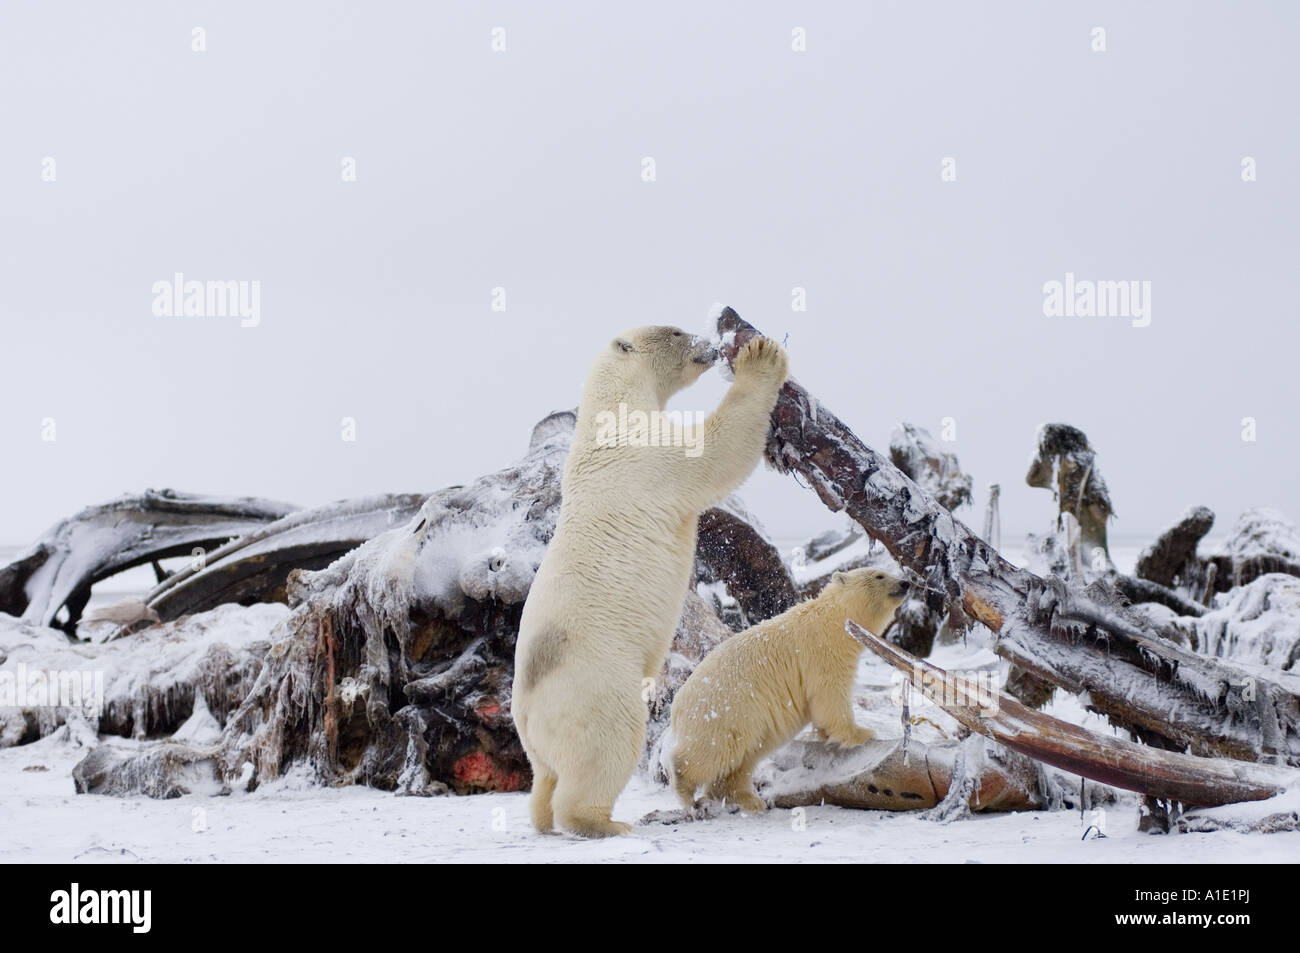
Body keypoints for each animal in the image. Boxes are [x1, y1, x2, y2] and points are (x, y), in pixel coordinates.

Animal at [512, 325, 789, 837]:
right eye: (676, 331)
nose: (710, 344)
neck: (612, 412)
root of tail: (526, 712)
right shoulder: (647, 454)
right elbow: (713, 451)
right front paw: (761, 357)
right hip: (598, 684)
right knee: (606, 746)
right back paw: (603, 822)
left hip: (541, 736)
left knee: (545, 775)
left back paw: (543, 817)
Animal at [668, 567, 910, 814]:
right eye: (880, 575)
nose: (905, 583)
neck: (832, 620)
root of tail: (677, 705)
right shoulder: (822, 652)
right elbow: (830, 695)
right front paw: (862, 733)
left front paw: (827, 736)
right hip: (726, 710)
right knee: (714, 751)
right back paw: (688, 795)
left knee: (743, 759)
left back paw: (750, 800)